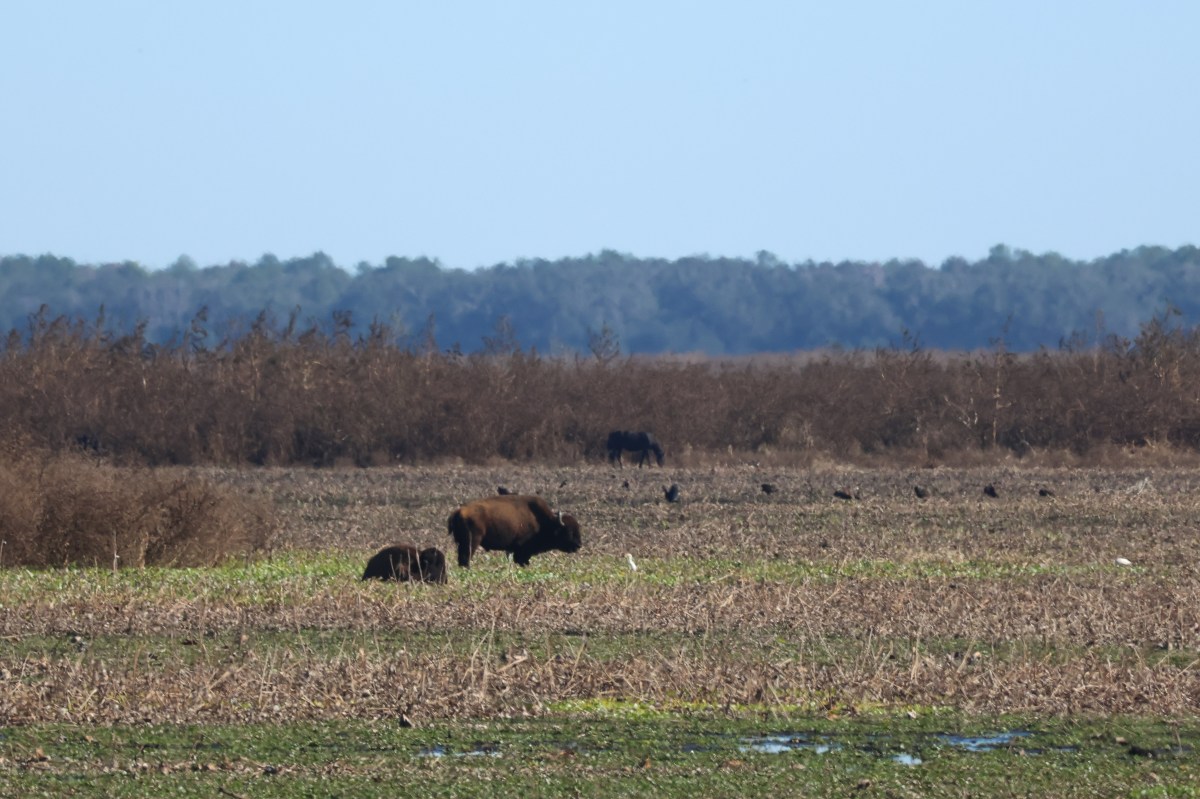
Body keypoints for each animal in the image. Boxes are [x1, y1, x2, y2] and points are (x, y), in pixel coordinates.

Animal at [448, 494, 581, 568]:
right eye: (569, 532)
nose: (579, 545)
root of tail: (459, 511)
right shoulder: (522, 551)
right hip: (472, 542)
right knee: (466, 558)